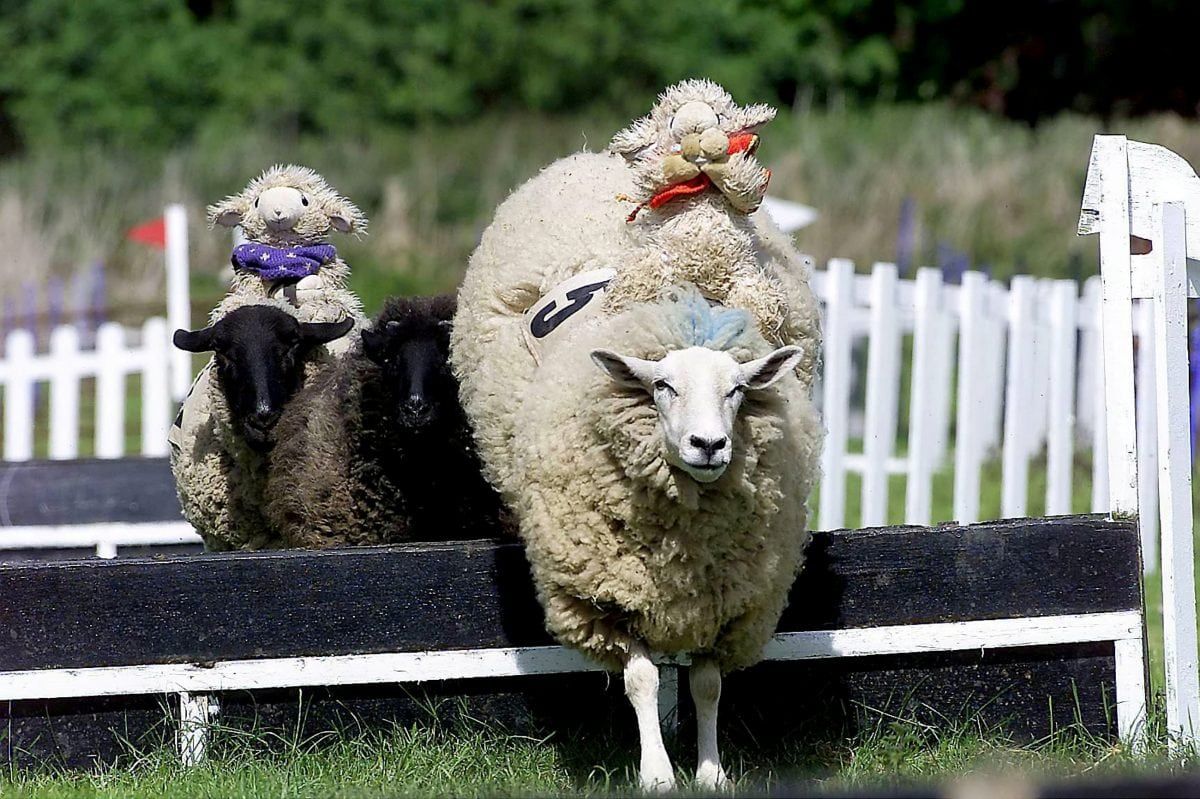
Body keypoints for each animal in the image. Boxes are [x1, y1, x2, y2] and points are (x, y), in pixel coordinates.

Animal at [509, 286, 821, 791]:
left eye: (736, 389)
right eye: (663, 387)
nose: (709, 445)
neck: (685, 544)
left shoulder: (724, 608)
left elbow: (708, 688)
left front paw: (712, 775)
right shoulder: (613, 602)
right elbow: (643, 681)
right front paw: (656, 774)